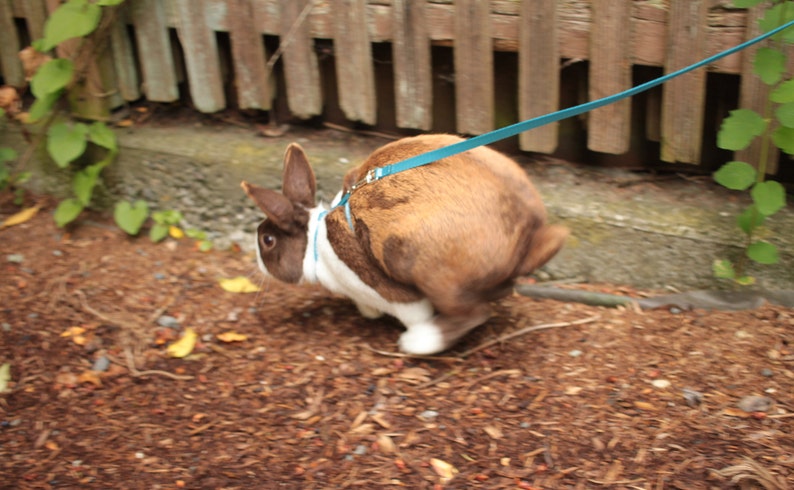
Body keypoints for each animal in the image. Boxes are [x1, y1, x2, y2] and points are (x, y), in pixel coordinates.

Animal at [241, 134, 568, 355]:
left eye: (267, 240)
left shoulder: (389, 292)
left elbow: (413, 312)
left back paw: (419, 342)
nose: (256, 263)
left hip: (422, 265)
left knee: (472, 313)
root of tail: (529, 235)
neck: (316, 243)